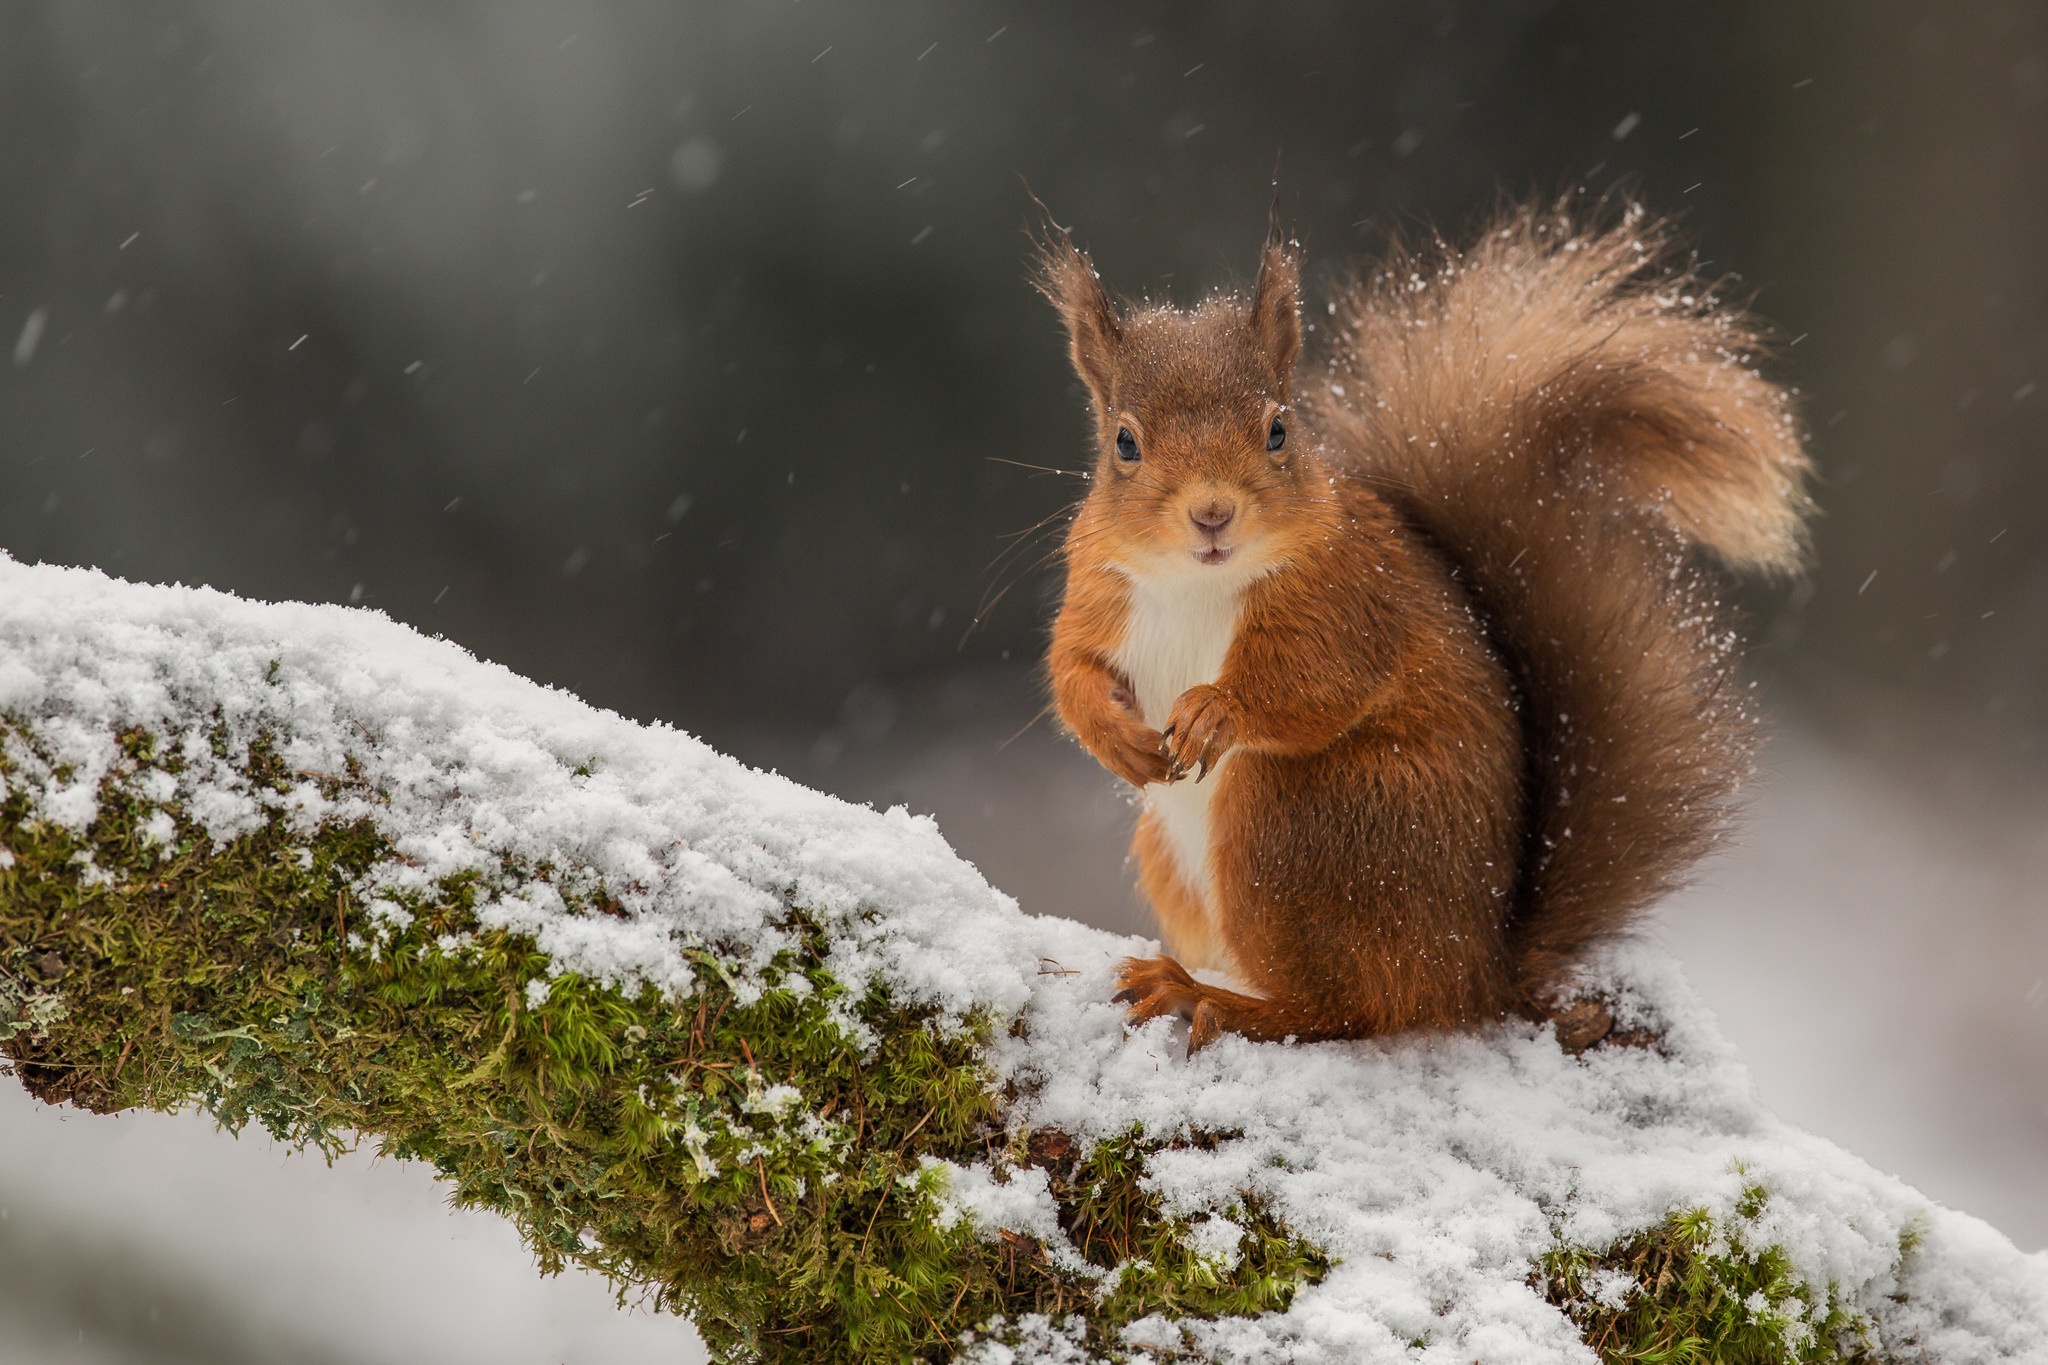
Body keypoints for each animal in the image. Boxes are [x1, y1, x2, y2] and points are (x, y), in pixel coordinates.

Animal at [1035, 202, 1812, 1049]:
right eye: (1124, 443)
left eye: (1279, 430)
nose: (1211, 513)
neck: (1196, 581)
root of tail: (1477, 967)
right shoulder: (1099, 590)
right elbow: (1071, 668)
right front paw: (1112, 734)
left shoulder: (1346, 600)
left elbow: (1313, 681)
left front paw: (1218, 708)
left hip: (1300, 821)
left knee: (1347, 1006)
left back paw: (1209, 996)